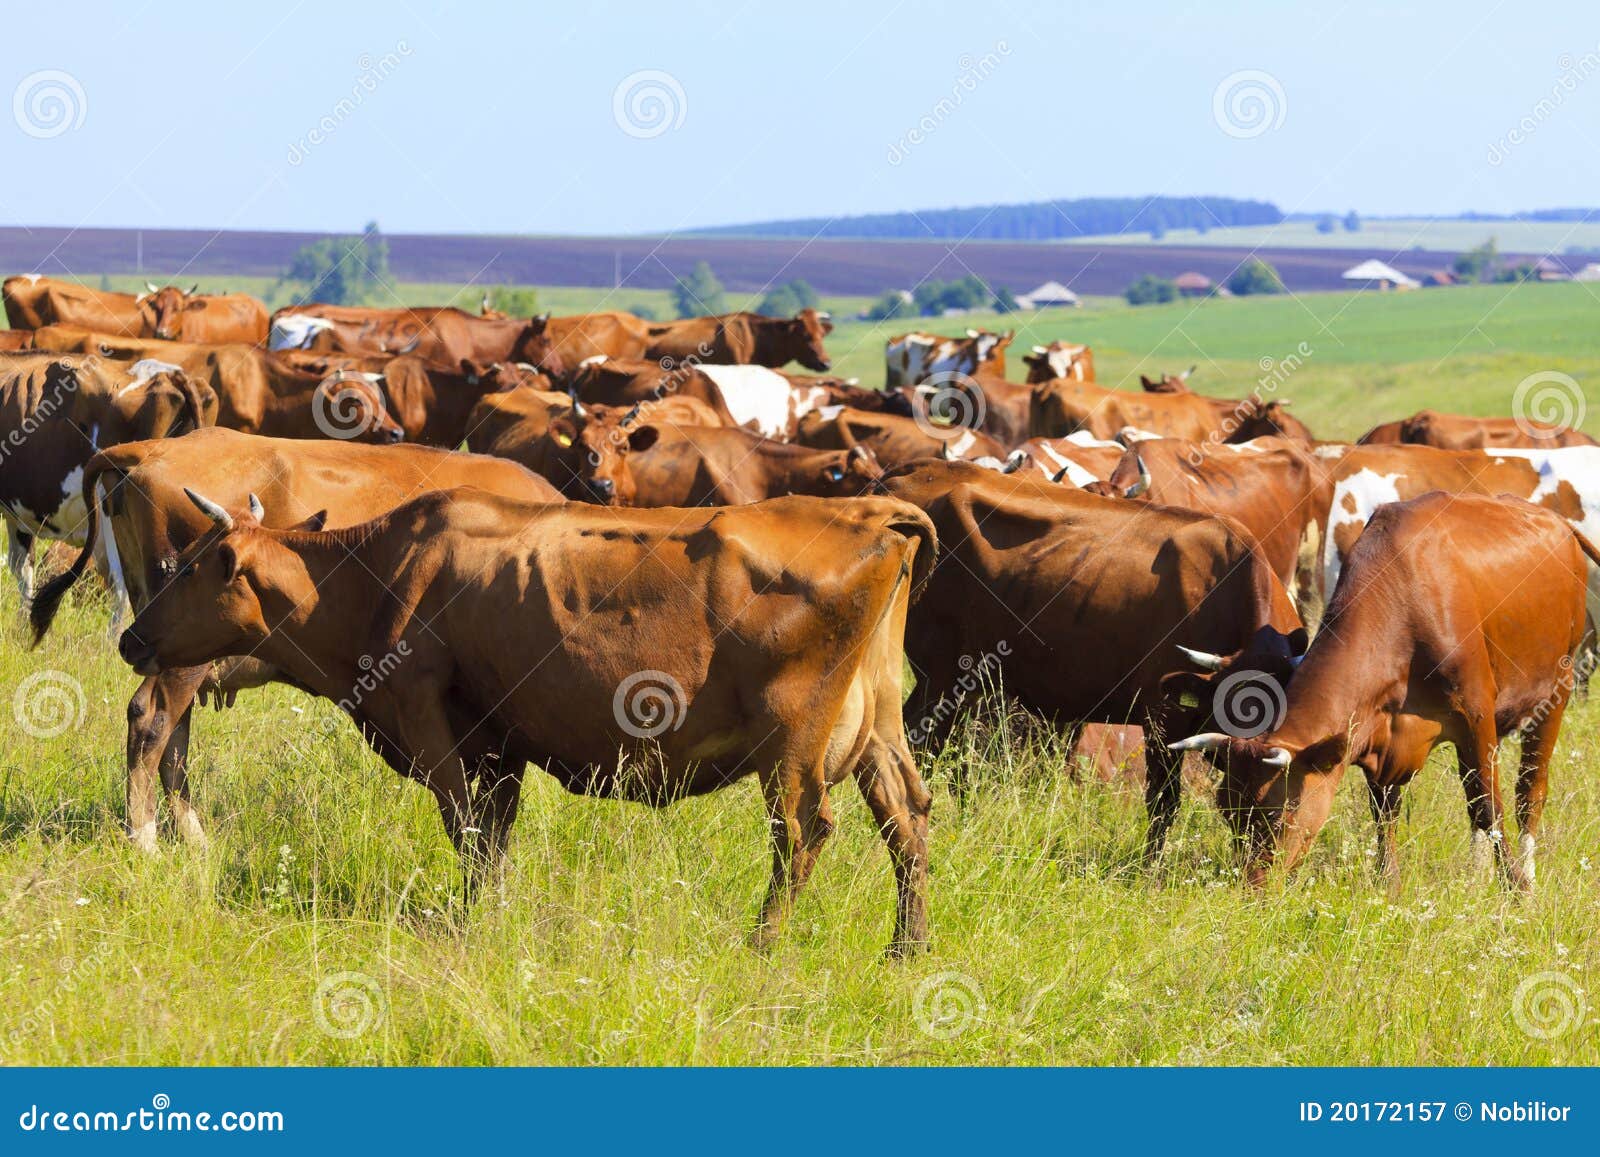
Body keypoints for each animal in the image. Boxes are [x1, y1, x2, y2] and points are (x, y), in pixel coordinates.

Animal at [27, 428, 566, 854]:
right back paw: (145, 839)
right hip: (180, 647)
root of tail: (150, 449)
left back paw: (190, 837)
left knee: (173, 737)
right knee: (151, 722)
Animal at [112, 486, 935, 953]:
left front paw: (473, 926)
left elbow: (466, 829)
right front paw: (492, 913)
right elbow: (494, 835)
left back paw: (761, 946)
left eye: (189, 568)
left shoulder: (426, 717)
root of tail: (869, 512)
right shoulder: (500, 741)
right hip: (877, 730)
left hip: (791, 743)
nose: (130, 638)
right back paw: (907, 948)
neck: (376, 574)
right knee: (907, 818)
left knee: (801, 832)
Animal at [879, 459, 1305, 859]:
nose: (1253, 859)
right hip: (941, 673)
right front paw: (1150, 868)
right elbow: (1163, 803)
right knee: (920, 744)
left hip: (961, 681)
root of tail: (912, 472)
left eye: (1277, 802)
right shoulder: (1161, 716)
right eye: (1233, 797)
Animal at [1170, 493, 1596, 890]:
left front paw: (1515, 888)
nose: (1252, 885)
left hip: (1555, 694)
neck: (1404, 604)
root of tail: (1560, 524)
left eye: (1275, 813)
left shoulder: (1476, 715)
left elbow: (1491, 806)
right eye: (1228, 810)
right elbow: (1387, 807)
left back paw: (1526, 870)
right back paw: (1476, 875)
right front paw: (1387, 880)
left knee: (1529, 793)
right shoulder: (1380, 733)